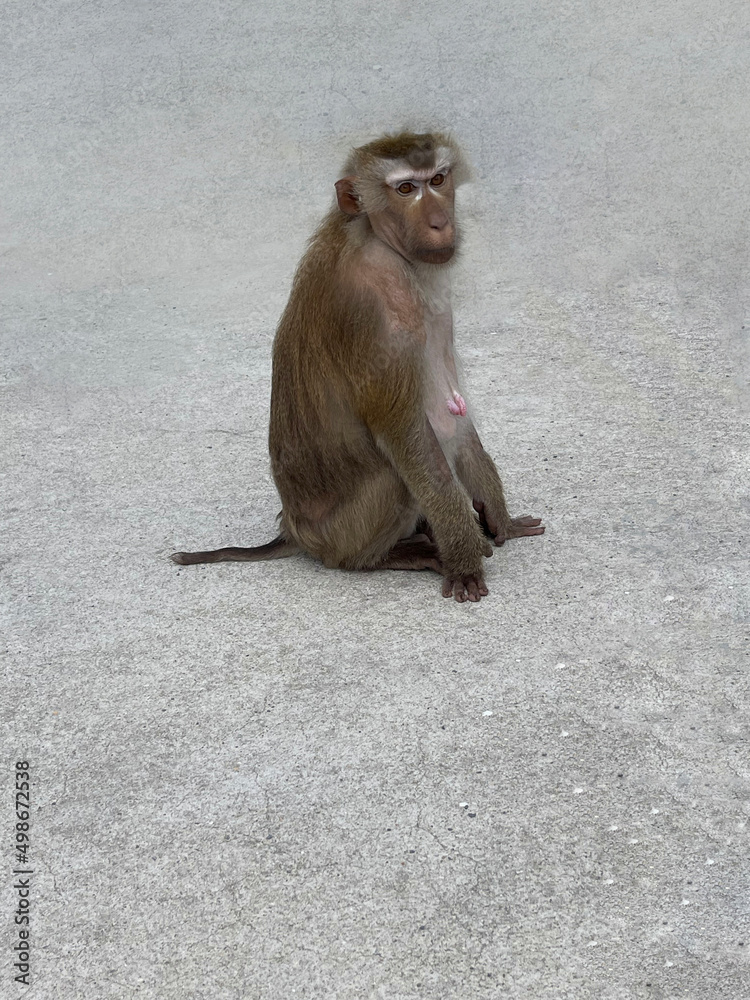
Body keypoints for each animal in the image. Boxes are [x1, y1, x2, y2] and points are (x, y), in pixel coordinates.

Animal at [172, 131, 544, 602]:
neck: (374, 236)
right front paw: (464, 558)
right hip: (343, 533)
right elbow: (412, 432)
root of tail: (294, 531)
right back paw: (389, 555)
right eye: (406, 188)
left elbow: (453, 414)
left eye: (438, 179)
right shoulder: (384, 306)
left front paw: (499, 517)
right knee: (396, 477)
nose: (440, 222)